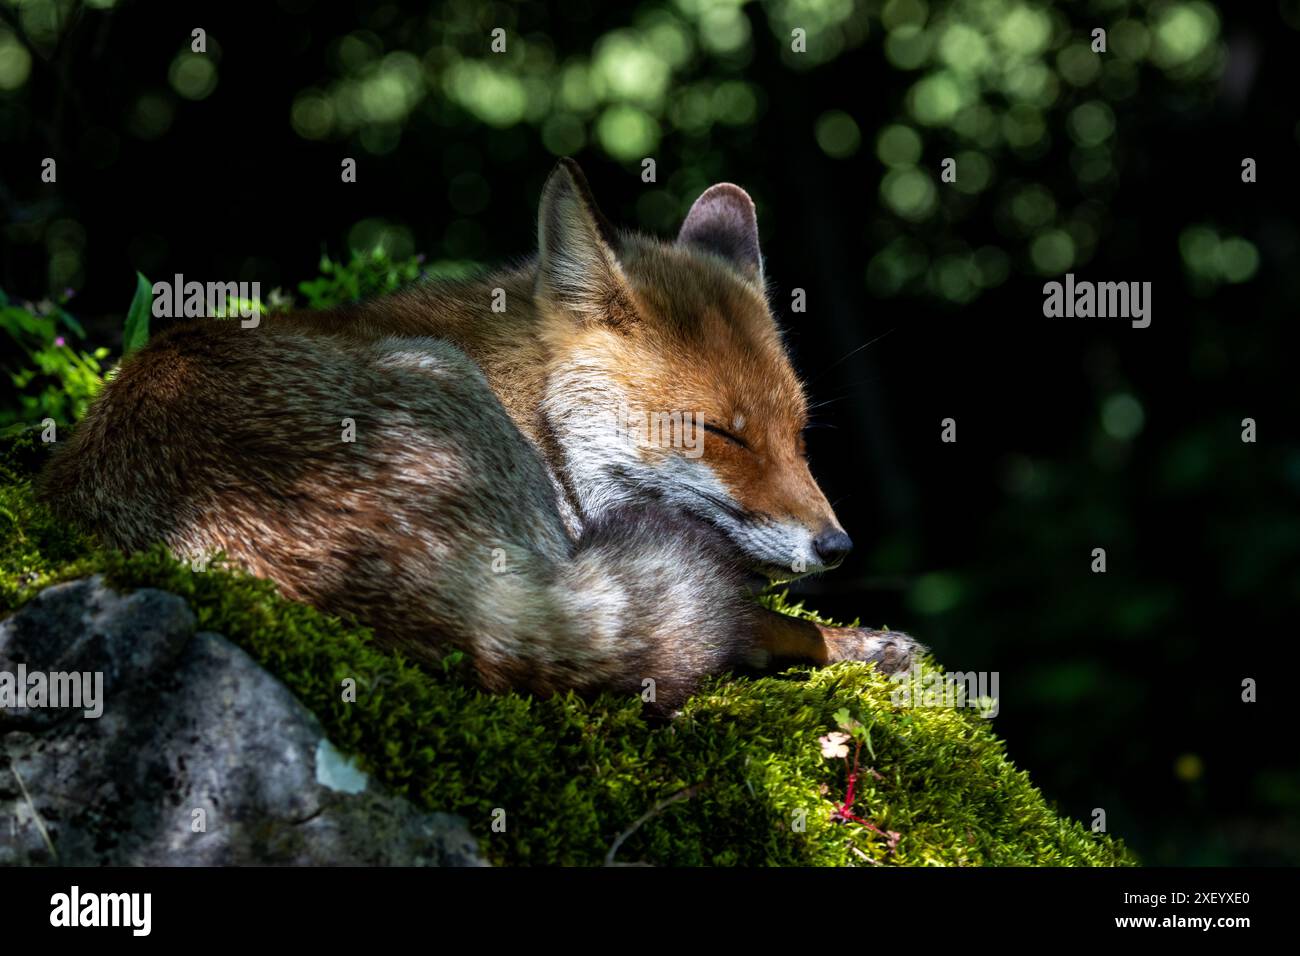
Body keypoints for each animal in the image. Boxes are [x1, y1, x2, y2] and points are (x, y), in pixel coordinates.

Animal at [40, 159, 919, 709]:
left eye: (798, 435)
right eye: (715, 434)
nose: (837, 548)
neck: (525, 391)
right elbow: (761, 623)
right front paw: (854, 643)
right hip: (445, 390)